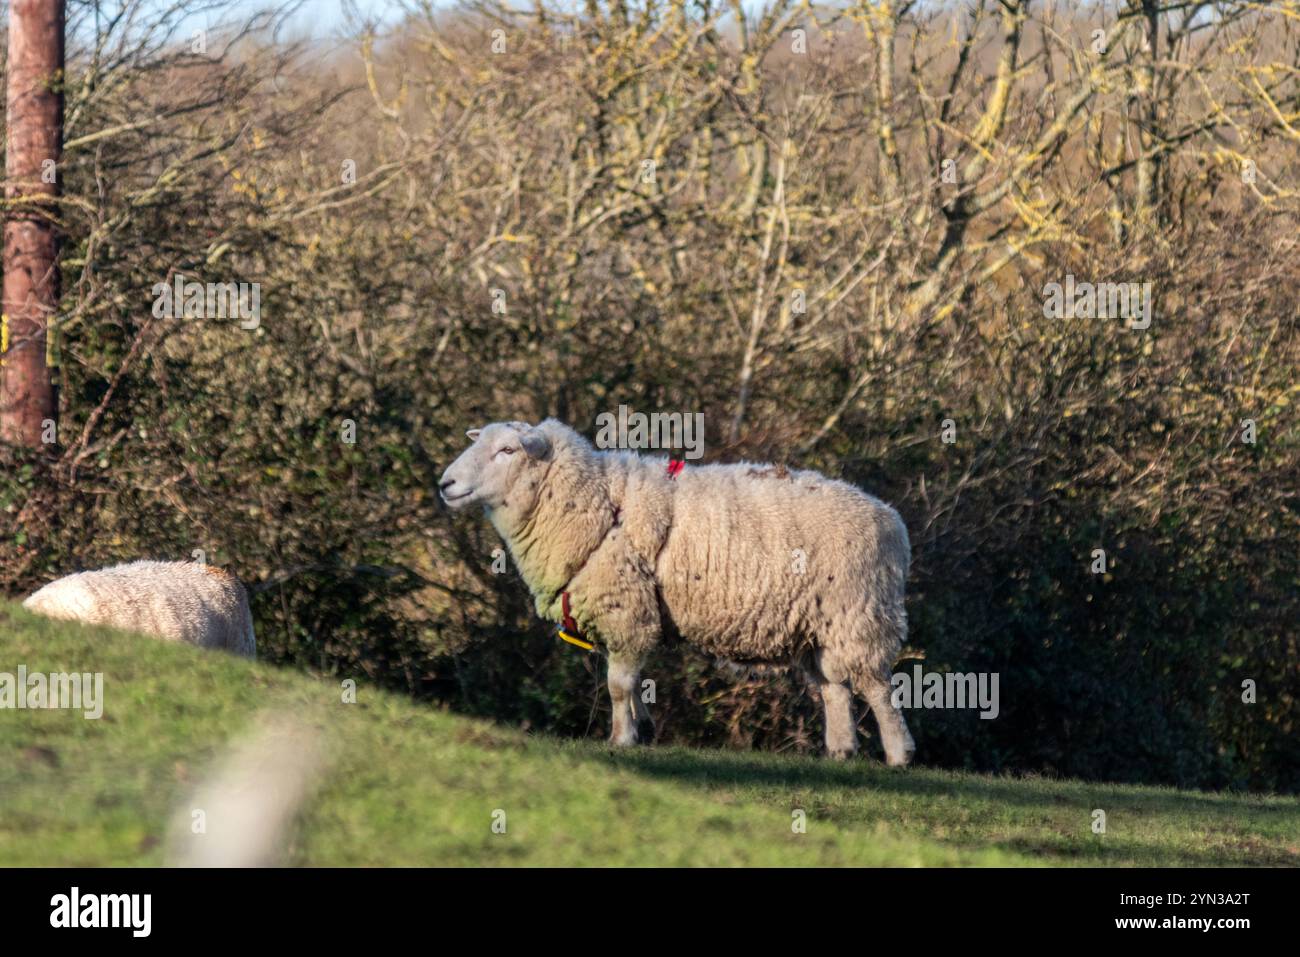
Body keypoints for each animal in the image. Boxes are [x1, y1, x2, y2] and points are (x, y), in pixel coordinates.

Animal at [438, 419, 915, 765]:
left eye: (507, 450)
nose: (445, 484)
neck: (594, 502)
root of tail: (893, 523)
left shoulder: (626, 610)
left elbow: (617, 684)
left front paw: (621, 739)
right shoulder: (628, 613)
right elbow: (630, 683)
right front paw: (643, 729)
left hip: (860, 612)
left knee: (877, 687)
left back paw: (898, 755)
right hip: (821, 626)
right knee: (834, 686)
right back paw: (840, 751)